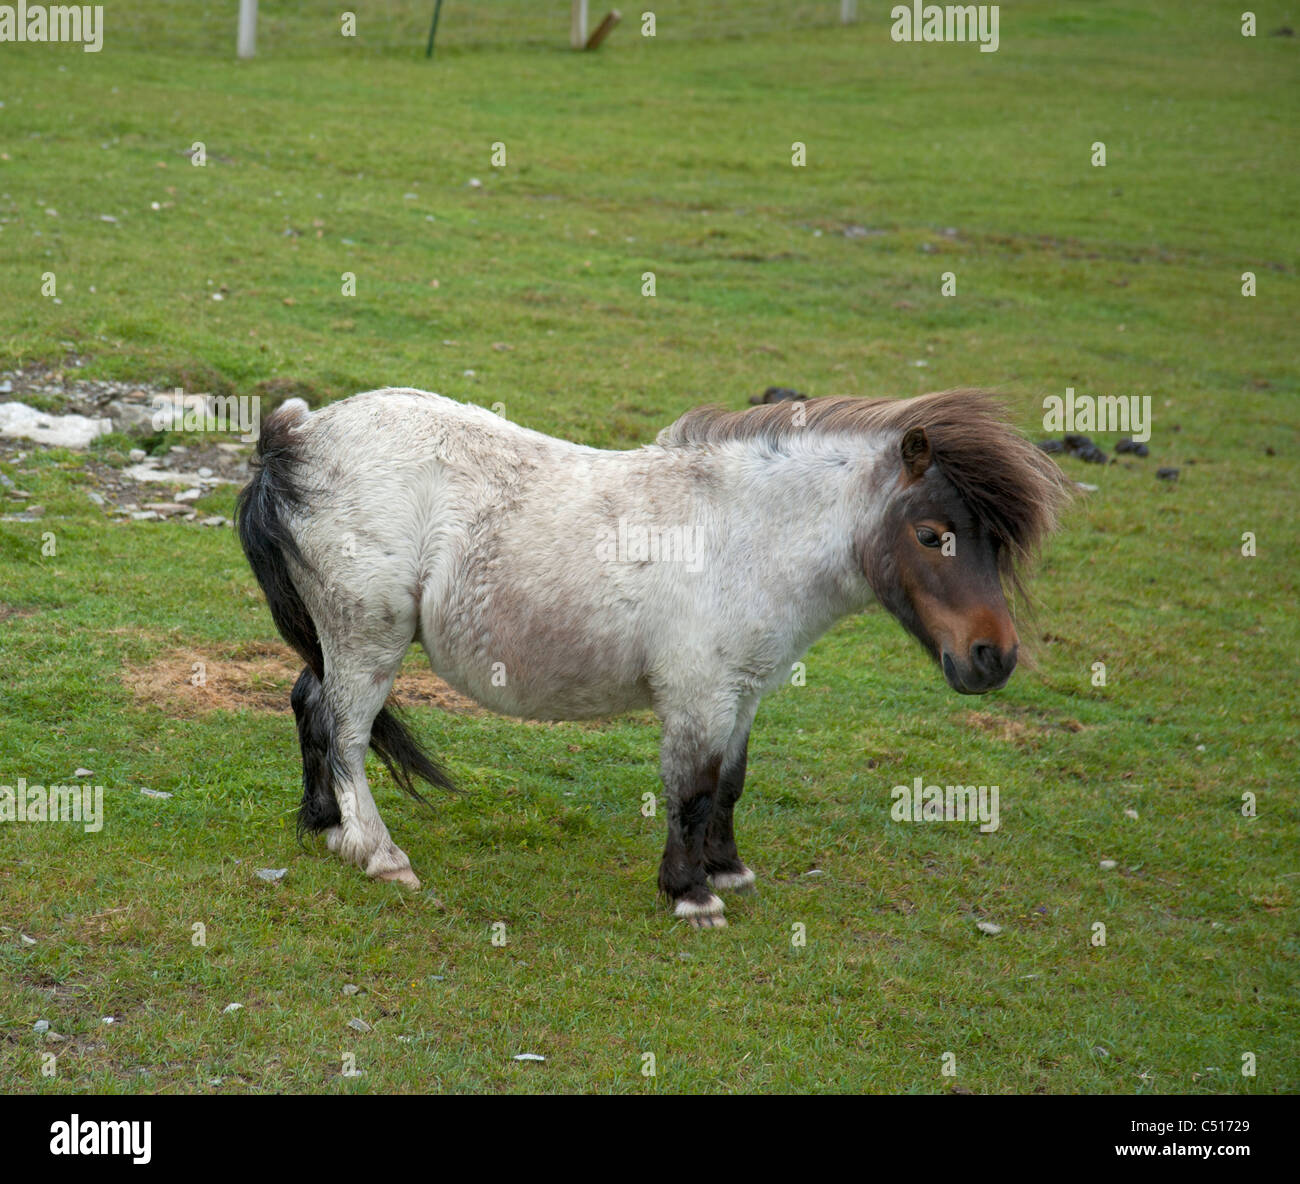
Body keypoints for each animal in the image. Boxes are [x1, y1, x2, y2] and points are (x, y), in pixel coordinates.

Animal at [235, 387, 1068, 928]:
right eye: (932, 534)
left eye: (997, 542)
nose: (992, 658)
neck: (745, 536)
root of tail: (297, 437)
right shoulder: (699, 694)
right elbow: (691, 790)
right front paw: (690, 894)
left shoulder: (743, 692)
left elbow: (729, 783)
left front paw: (728, 869)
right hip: (367, 638)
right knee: (344, 732)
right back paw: (379, 854)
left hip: (339, 638)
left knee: (309, 704)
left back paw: (324, 826)